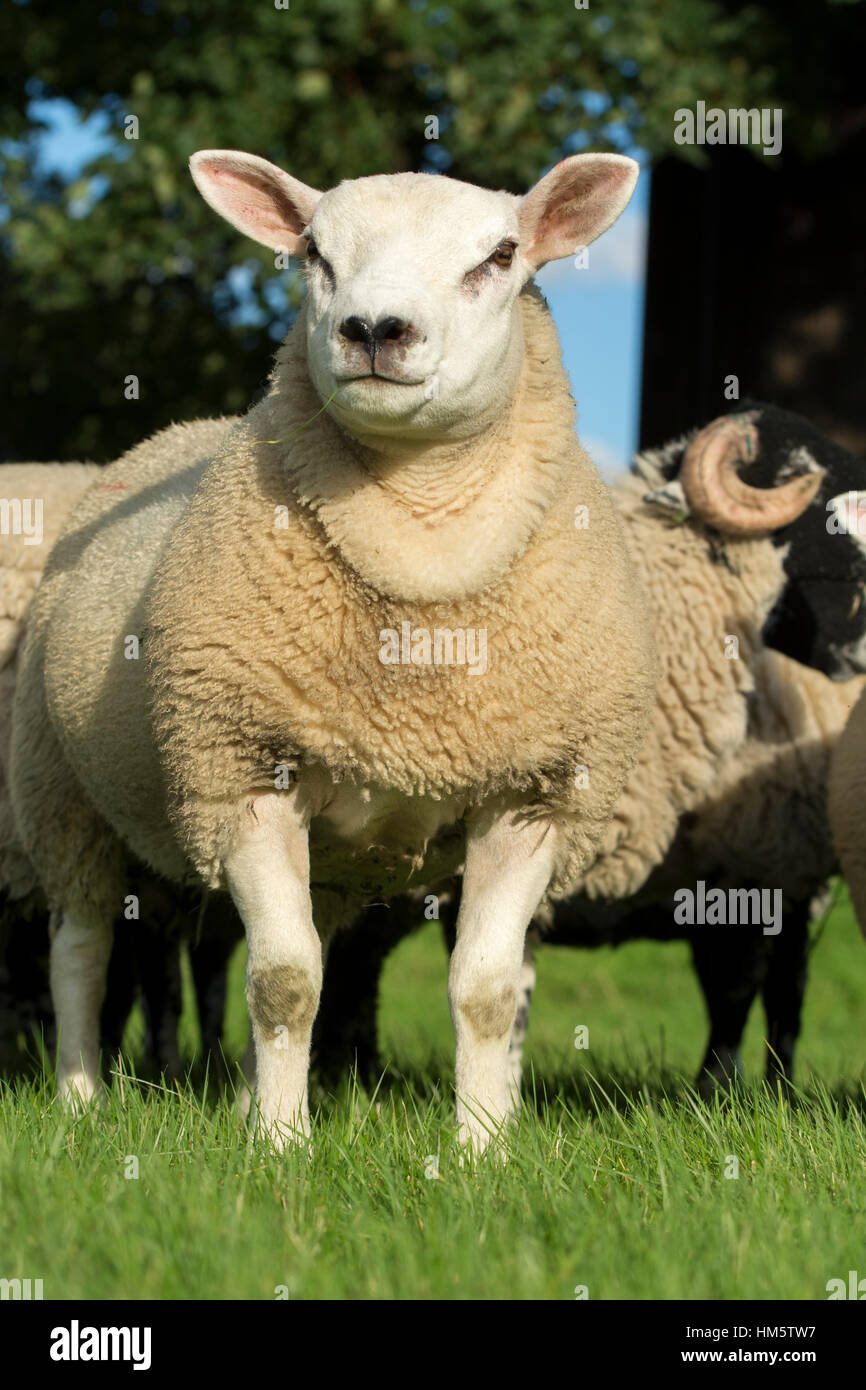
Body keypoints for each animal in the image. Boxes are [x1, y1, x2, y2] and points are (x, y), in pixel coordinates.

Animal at [10, 151, 659, 1152]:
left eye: (501, 256)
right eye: (313, 252)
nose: (375, 329)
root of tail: (172, 434)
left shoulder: (533, 791)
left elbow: (484, 991)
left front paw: (481, 1149)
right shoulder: (239, 769)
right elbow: (284, 983)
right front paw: (281, 1149)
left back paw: (246, 1097)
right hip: (60, 792)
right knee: (81, 952)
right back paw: (82, 1101)